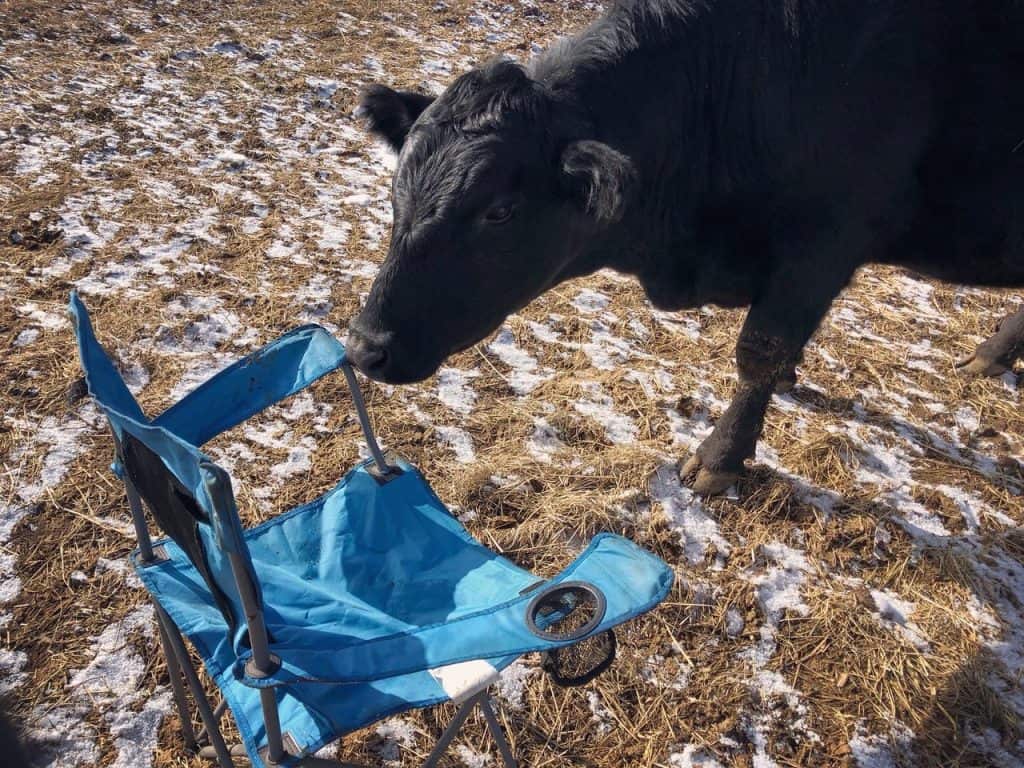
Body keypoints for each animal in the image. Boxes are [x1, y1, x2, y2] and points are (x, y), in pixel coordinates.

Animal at [346, 0, 1024, 495]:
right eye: (400, 183)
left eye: (499, 211)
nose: (364, 347)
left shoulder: (825, 242)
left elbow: (758, 352)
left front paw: (720, 460)